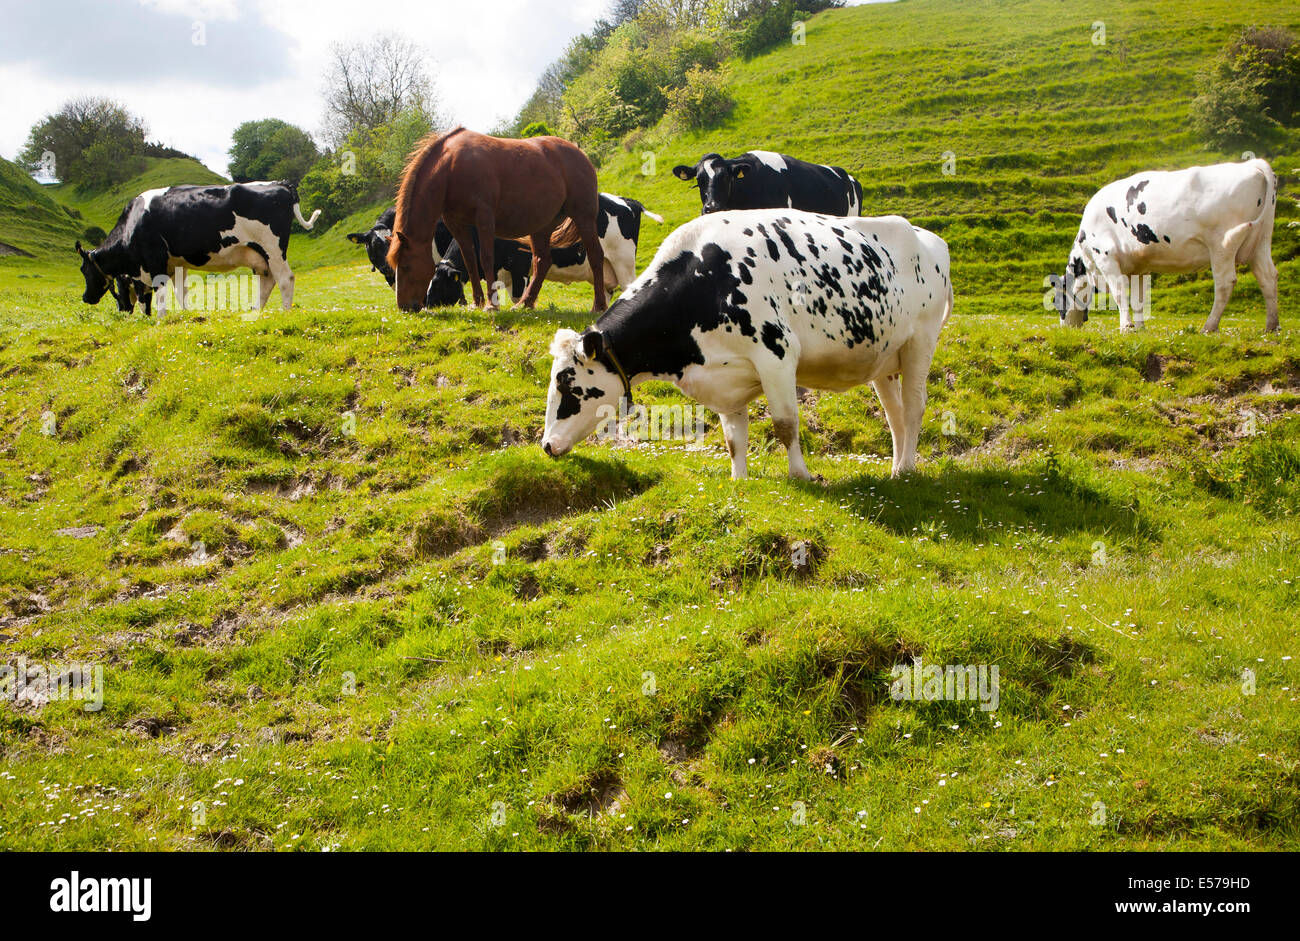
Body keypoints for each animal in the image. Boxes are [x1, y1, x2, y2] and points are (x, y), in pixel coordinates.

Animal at [76, 181, 320, 316]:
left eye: (83, 270)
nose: (86, 297)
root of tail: (282, 185)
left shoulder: (154, 259)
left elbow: (159, 294)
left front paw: (161, 320)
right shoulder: (176, 263)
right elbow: (180, 292)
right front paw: (185, 316)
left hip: (273, 247)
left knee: (285, 278)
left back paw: (285, 312)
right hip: (259, 255)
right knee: (267, 280)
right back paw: (255, 310)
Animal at [424, 194, 664, 306]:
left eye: (439, 284)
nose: (424, 307)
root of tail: (627, 201)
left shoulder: (519, 266)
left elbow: (517, 296)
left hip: (622, 260)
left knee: (630, 286)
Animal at [542, 210, 952, 480]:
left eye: (567, 385)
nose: (546, 446)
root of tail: (928, 238)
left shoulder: (777, 354)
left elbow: (785, 423)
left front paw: (801, 475)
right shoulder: (724, 378)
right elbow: (733, 438)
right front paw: (739, 479)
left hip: (921, 342)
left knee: (914, 407)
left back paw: (908, 469)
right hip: (885, 359)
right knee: (894, 414)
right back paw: (897, 468)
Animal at [1056, 159, 1279, 333]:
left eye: (1057, 299)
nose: (1065, 327)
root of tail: (1252, 164)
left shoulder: (1106, 257)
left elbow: (1120, 293)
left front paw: (1126, 327)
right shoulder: (1139, 267)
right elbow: (1138, 298)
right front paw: (1140, 328)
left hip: (1222, 244)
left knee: (1225, 283)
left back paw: (1209, 326)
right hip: (1261, 241)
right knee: (1267, 276)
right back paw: (1272, 326)